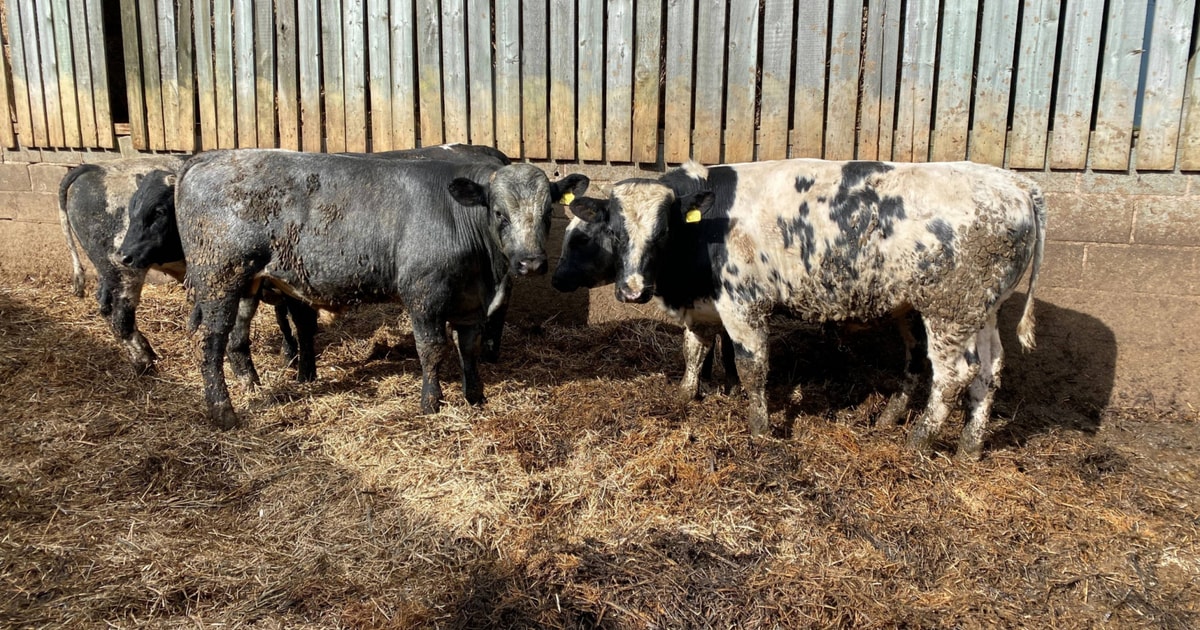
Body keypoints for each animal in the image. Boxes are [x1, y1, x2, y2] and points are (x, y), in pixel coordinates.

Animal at [130, 149, 587, 429]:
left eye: (547, 212)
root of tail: (207, 158)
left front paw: (476, 398)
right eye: (498, 212)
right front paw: (431, 403)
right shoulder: (423, 295)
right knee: (210, 344)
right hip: (219, 279)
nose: (531, 263)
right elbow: (432, 350)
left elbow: (469, 349)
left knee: (230, 341)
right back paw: (223, 410)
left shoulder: (471, 302)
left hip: (244, 283)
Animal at [567, 159, 1045, 460]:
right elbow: (695, 352)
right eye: (613, 230)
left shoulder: (744, 303)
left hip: (948, 311)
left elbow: (752, 367)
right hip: (981, 311)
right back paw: (969, 446)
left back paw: (918, 442)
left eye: (663, 231)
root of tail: (1017, 184)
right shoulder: (703, 305)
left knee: (954, 375)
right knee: (989, 371)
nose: (632, 290)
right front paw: (685, 398)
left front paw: (760, 428)